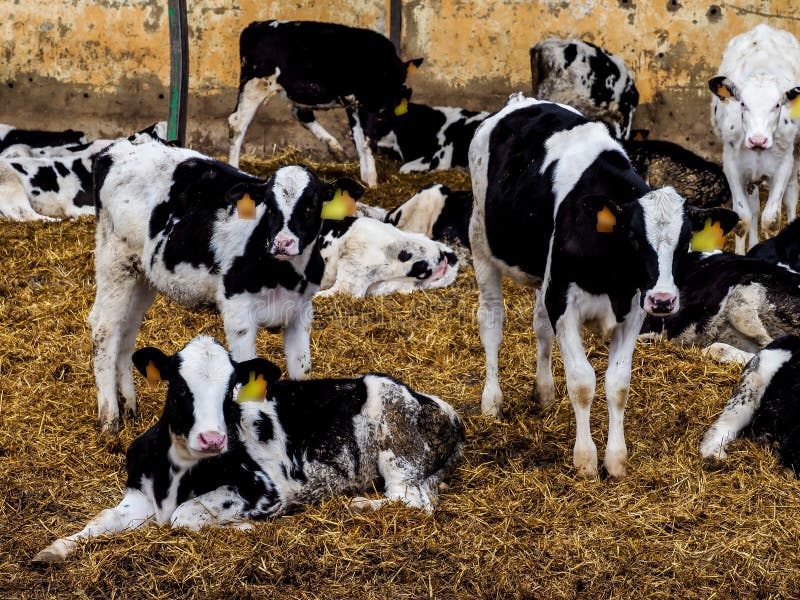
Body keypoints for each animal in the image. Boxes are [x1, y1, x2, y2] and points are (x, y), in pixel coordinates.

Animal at [32, 335, 465, 563]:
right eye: (179, 387)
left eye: (230, 391)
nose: (212, 438)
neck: (178, 473)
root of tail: (439, 406)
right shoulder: (138, 493)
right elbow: (102, 519)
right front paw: (55, 548)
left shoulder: (263, 489)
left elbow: (185, 517)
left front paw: (241, 526)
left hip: (397, 448)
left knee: (413, 501)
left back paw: (360, 505)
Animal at [89, 139, 363, 434]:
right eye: (270, 207)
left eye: (310, 205)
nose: (283, 243)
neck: (284, 273)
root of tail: (118, 148)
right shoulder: (238, 313)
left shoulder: (300, 312)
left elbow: (302, 371)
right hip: (116, 261)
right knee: (104, 330)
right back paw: (109, 417)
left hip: (143, 275)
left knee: (126, 330)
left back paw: (129, 405)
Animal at [227, 20, 422, 187]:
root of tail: (255, 26)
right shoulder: (369, 105)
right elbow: (368, 141)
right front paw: (373, 181)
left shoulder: (354, 104)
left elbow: (359, 139)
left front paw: (366, 179)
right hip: (256, 85)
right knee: (237, 123)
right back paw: (234, 167)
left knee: (301, 115)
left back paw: (335, 148)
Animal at [468, 94, 737, 478]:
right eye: (634, 239)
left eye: (685, 242)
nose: (664, 300)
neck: (615, 281)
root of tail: (521, 101)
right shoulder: (564, 304)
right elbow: (583, 382)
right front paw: (586, 461)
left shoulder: (633, 310)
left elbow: (617, 384)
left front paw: (616, 459)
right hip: (481, 240)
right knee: (491, 323)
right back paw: (492, 402)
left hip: (543, 275)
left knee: (540, 325)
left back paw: (544, 392)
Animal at [709, 23, 800, 254]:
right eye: (743, 104)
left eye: (776, 105)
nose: (758, 140)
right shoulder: (732, 165)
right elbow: (743, 217)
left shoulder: (784, 165)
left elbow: (771, 220)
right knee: (754, 207)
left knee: (791, 197)